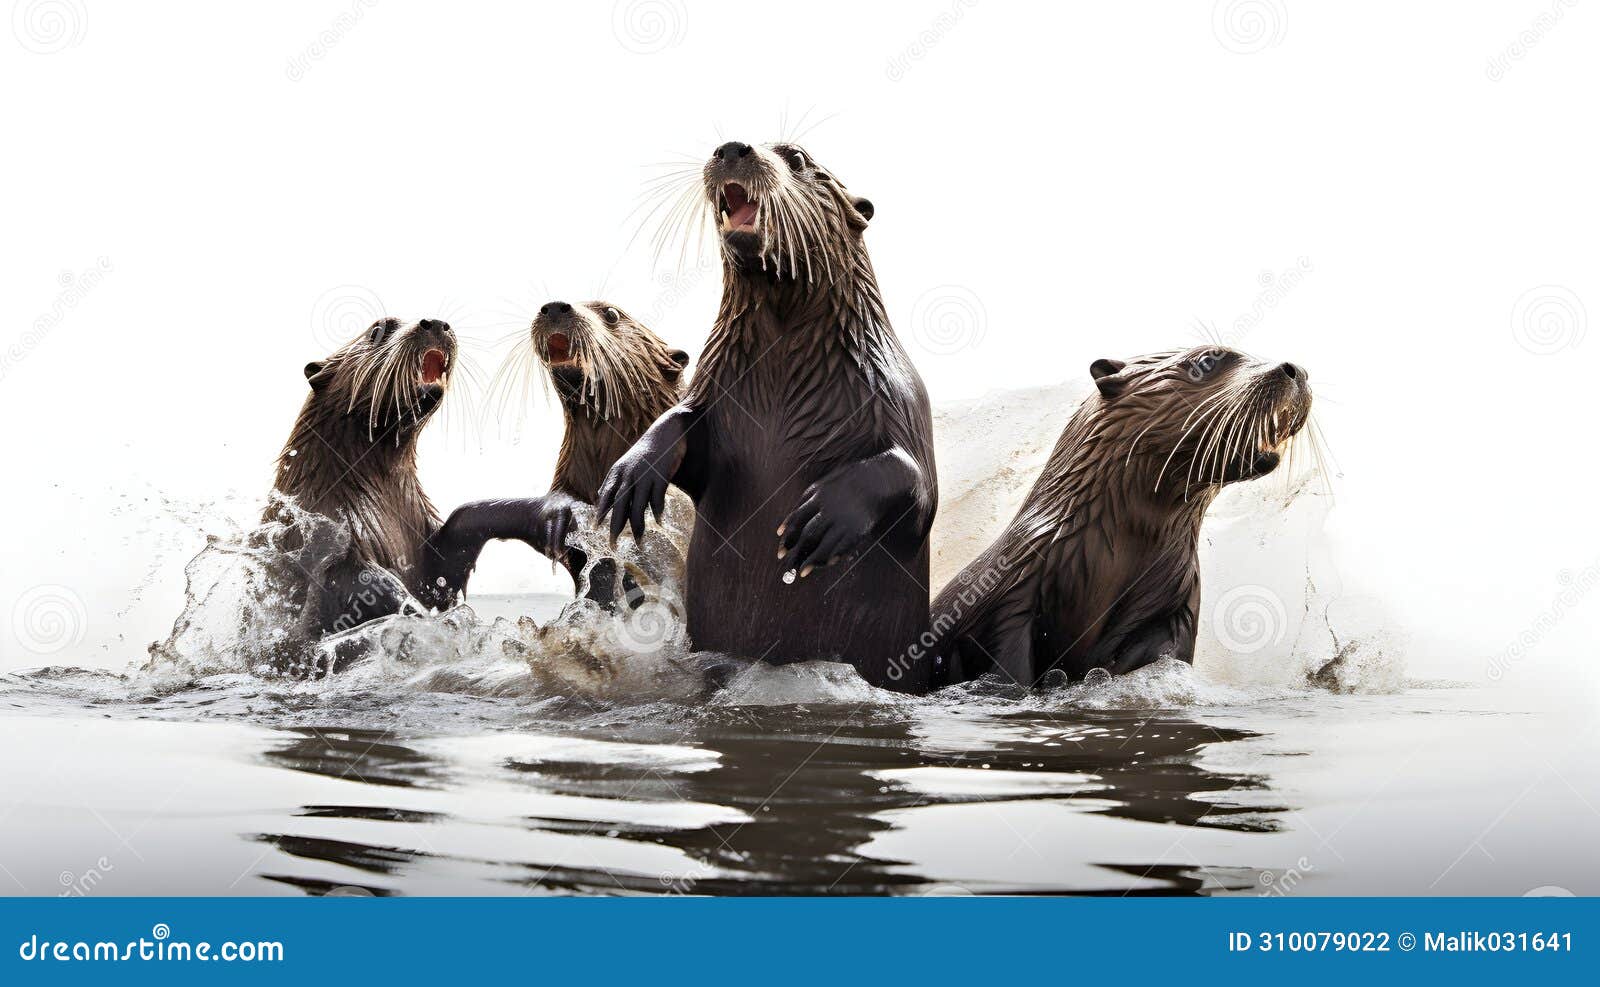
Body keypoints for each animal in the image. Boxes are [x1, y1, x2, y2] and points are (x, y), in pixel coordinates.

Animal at [598, 140, 938, 691]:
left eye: (796, 157)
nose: (732, 148)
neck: (780, 396)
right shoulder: (717, 390)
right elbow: (680, 423)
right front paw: (632, 472)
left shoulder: (900, 398)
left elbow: (915, 480)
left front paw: (824, 517)